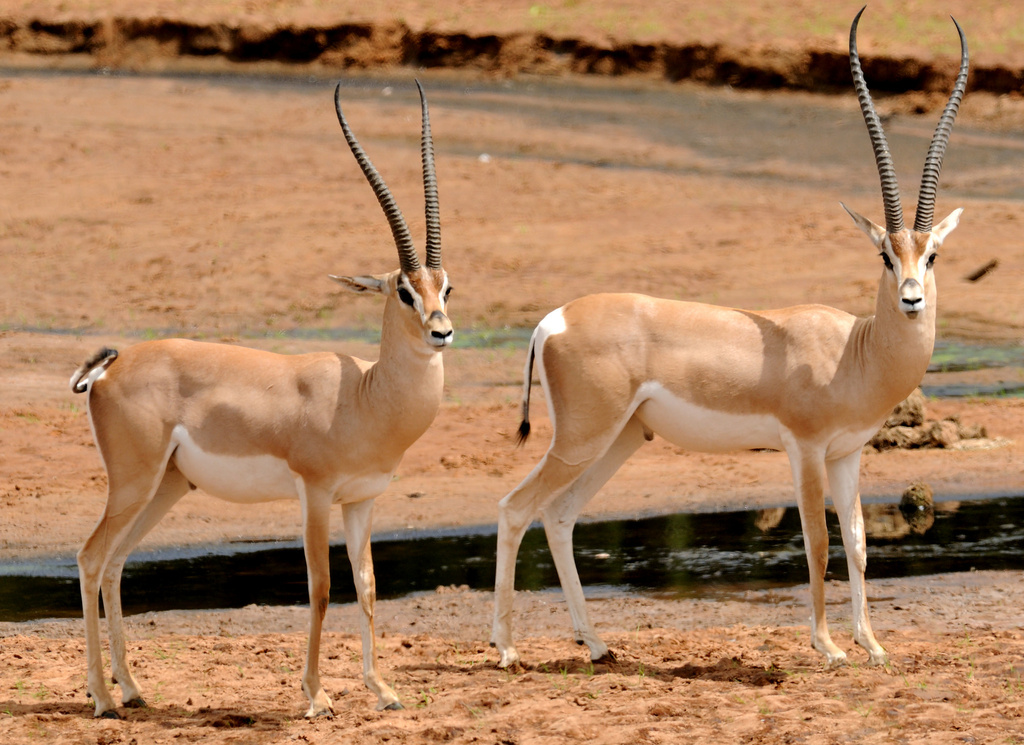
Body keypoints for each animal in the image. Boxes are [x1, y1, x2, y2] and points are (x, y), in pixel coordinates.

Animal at [69, 82, 453, 719]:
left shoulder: (362, 500)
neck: (363, 397)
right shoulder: (316, 495)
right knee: (91, 557)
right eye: (403, 290)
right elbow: (321, 588)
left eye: (445, 287)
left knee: (117, 562)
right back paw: (102, 698)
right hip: (133, 482)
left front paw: (383, 690)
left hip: (165, 486)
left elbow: (368, 586)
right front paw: (317, 697)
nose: (442, 332)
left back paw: (133, 688)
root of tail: (113, 364)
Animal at [491, 8, 968, 670]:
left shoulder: (847, 453)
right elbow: (817, 541)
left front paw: (872, 645)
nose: (912, 298)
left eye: (932, 255)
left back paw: (597, 645)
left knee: (559, 515)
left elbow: (858, 542)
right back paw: (506, 649)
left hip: (619, 439)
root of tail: (551, 319)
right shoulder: (806, 449)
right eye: (883, 254)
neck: (856, 352)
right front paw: (828, 647)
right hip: (583, 437)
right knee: (516, 507)